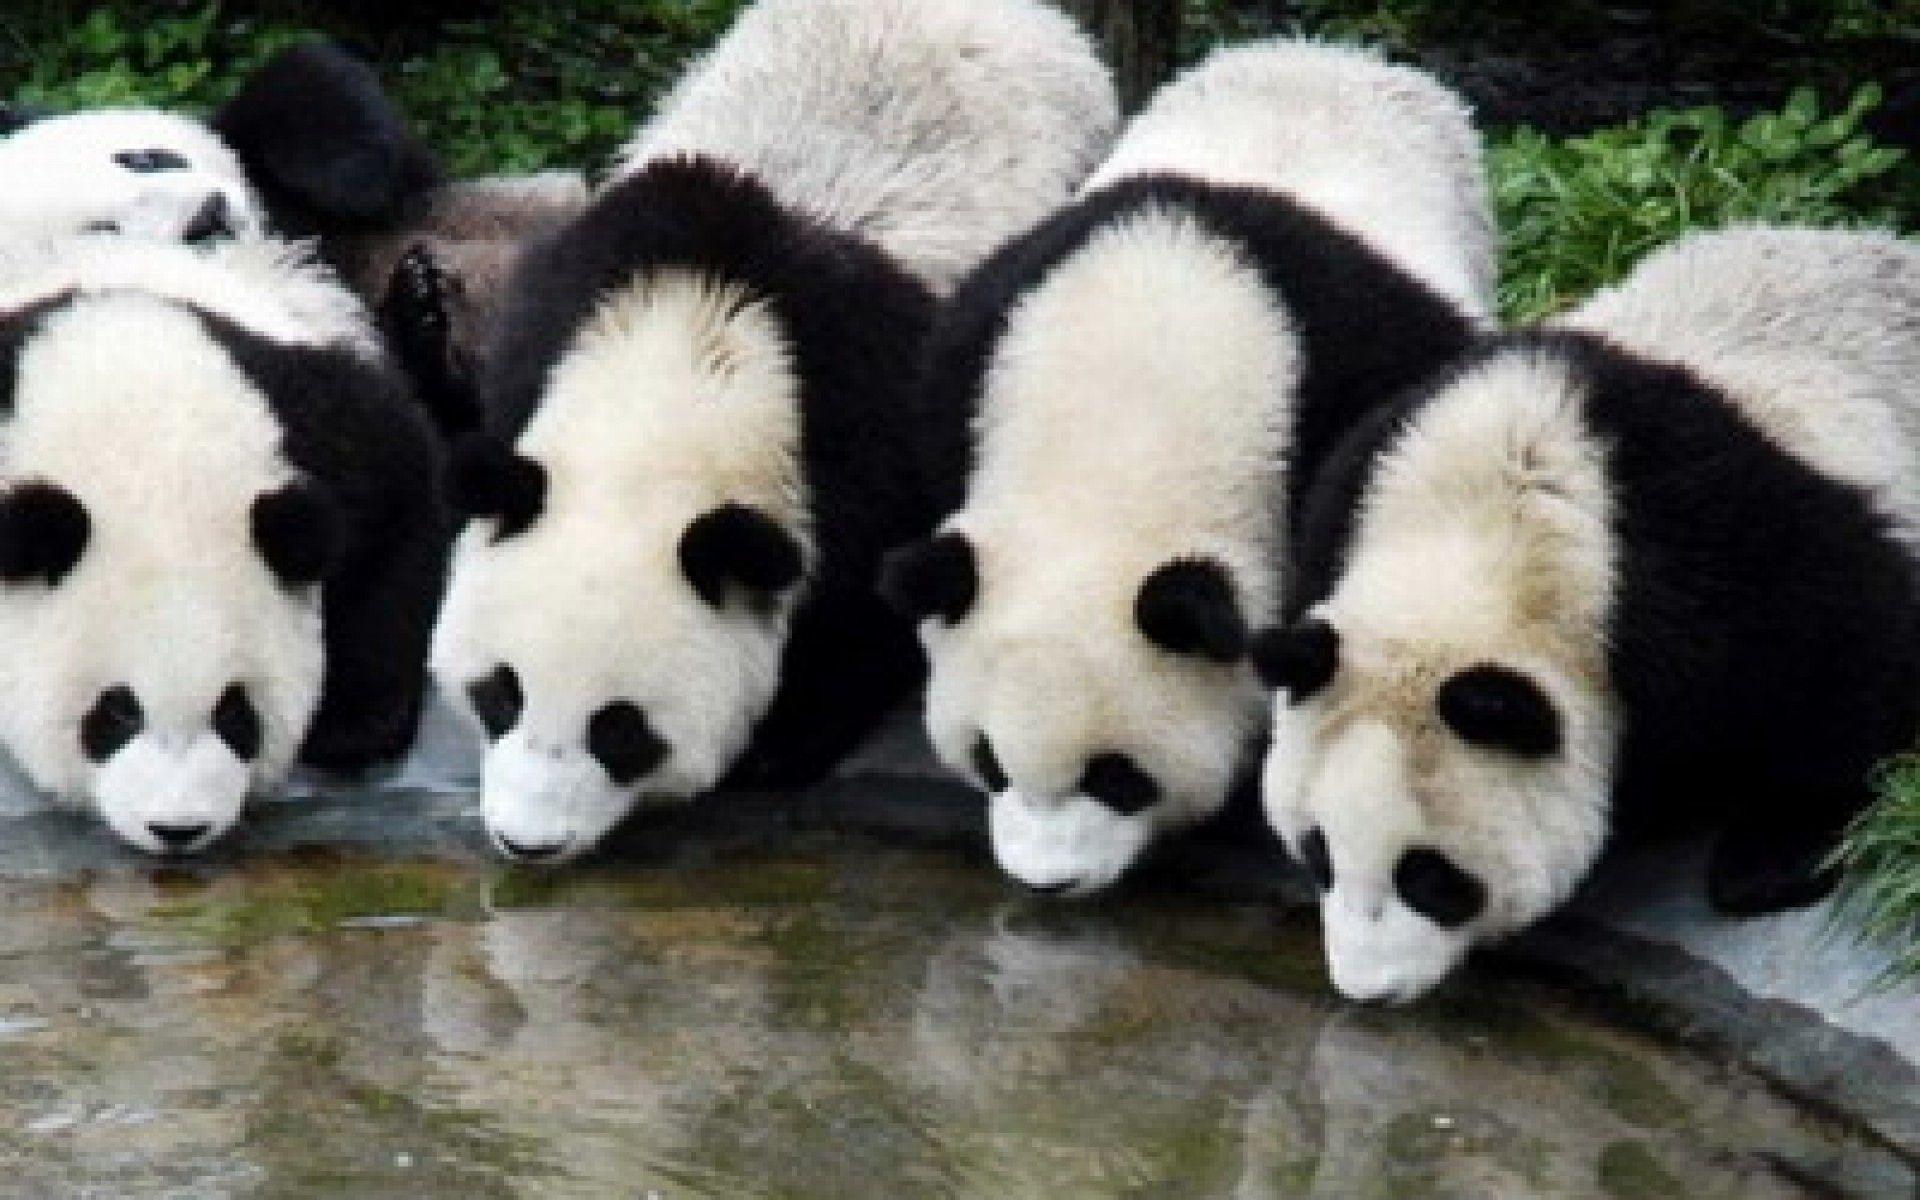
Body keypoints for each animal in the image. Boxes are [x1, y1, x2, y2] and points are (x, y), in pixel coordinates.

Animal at [0, 233, 447, 856]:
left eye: (236, 712)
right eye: (116, 711)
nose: (178, 828)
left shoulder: (314, 423)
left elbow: (397, 508)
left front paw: (349, 724)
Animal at [430, 0, 1120, 864]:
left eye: (619, 731)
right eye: (501, 693)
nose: (528, 842)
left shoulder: (865, 421)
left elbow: (866, 605)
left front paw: (777, 743)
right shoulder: (554, 318)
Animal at [1256, 226, 1920, 1003]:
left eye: (1430, 876)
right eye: (1318, 853)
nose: (1369, 989)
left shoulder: (1720, 556)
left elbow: (1843, 659)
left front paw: (1777, 852)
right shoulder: (1360, 485)